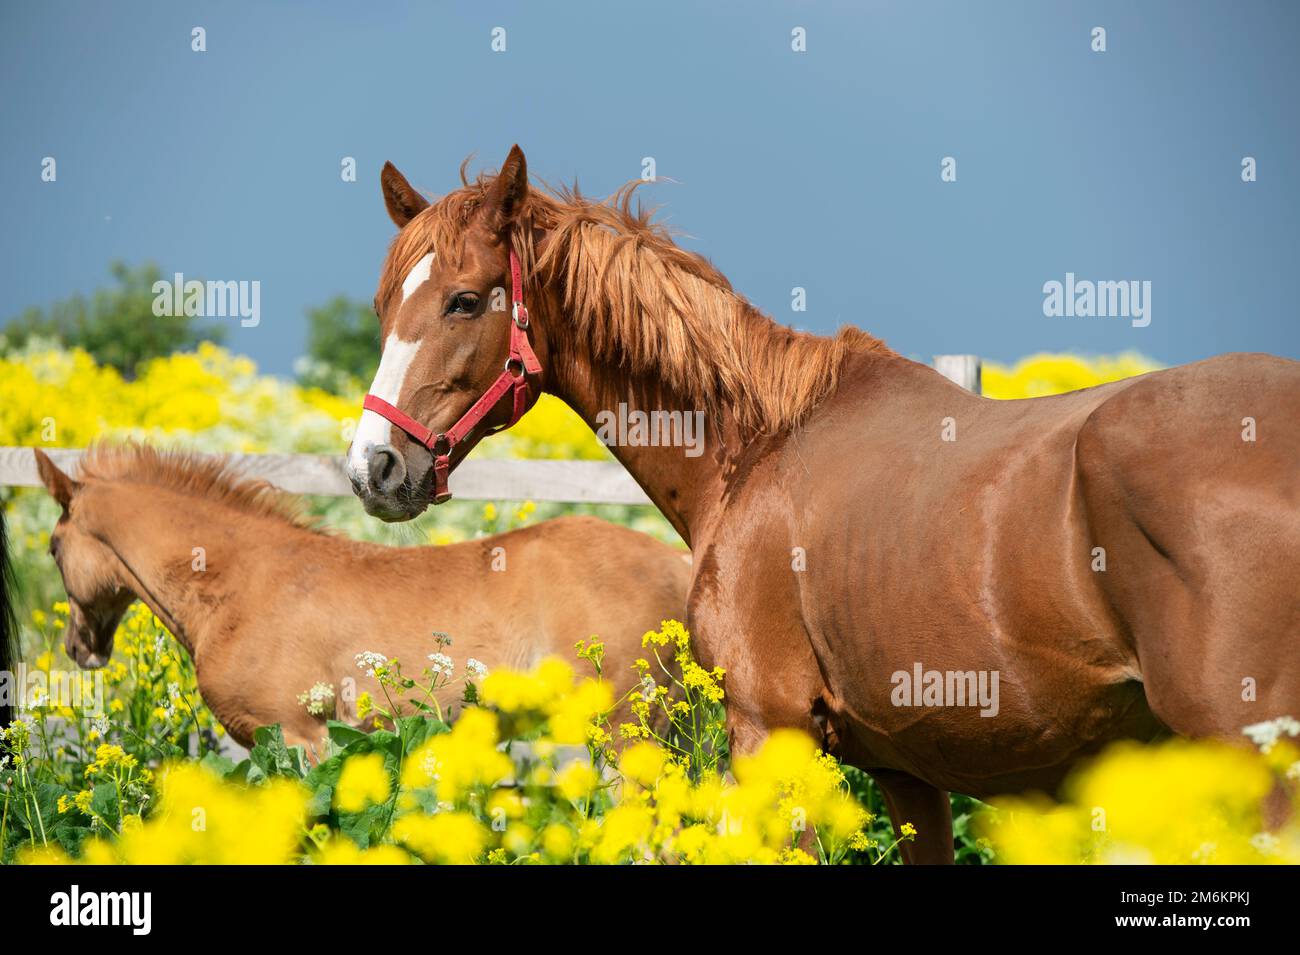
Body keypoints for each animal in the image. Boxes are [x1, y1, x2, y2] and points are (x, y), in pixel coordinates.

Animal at [33, 445, 690, 752]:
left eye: (52, 548)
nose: (78, 649)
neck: (238, 584)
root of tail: (679, 563)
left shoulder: (300, 735)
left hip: (628, 731)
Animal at [346, 147, 1300, 862]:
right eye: (386, 303)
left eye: (465, 300)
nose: (372, 467)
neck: (757, 447)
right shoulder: (909, 772)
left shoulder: (771, 733)